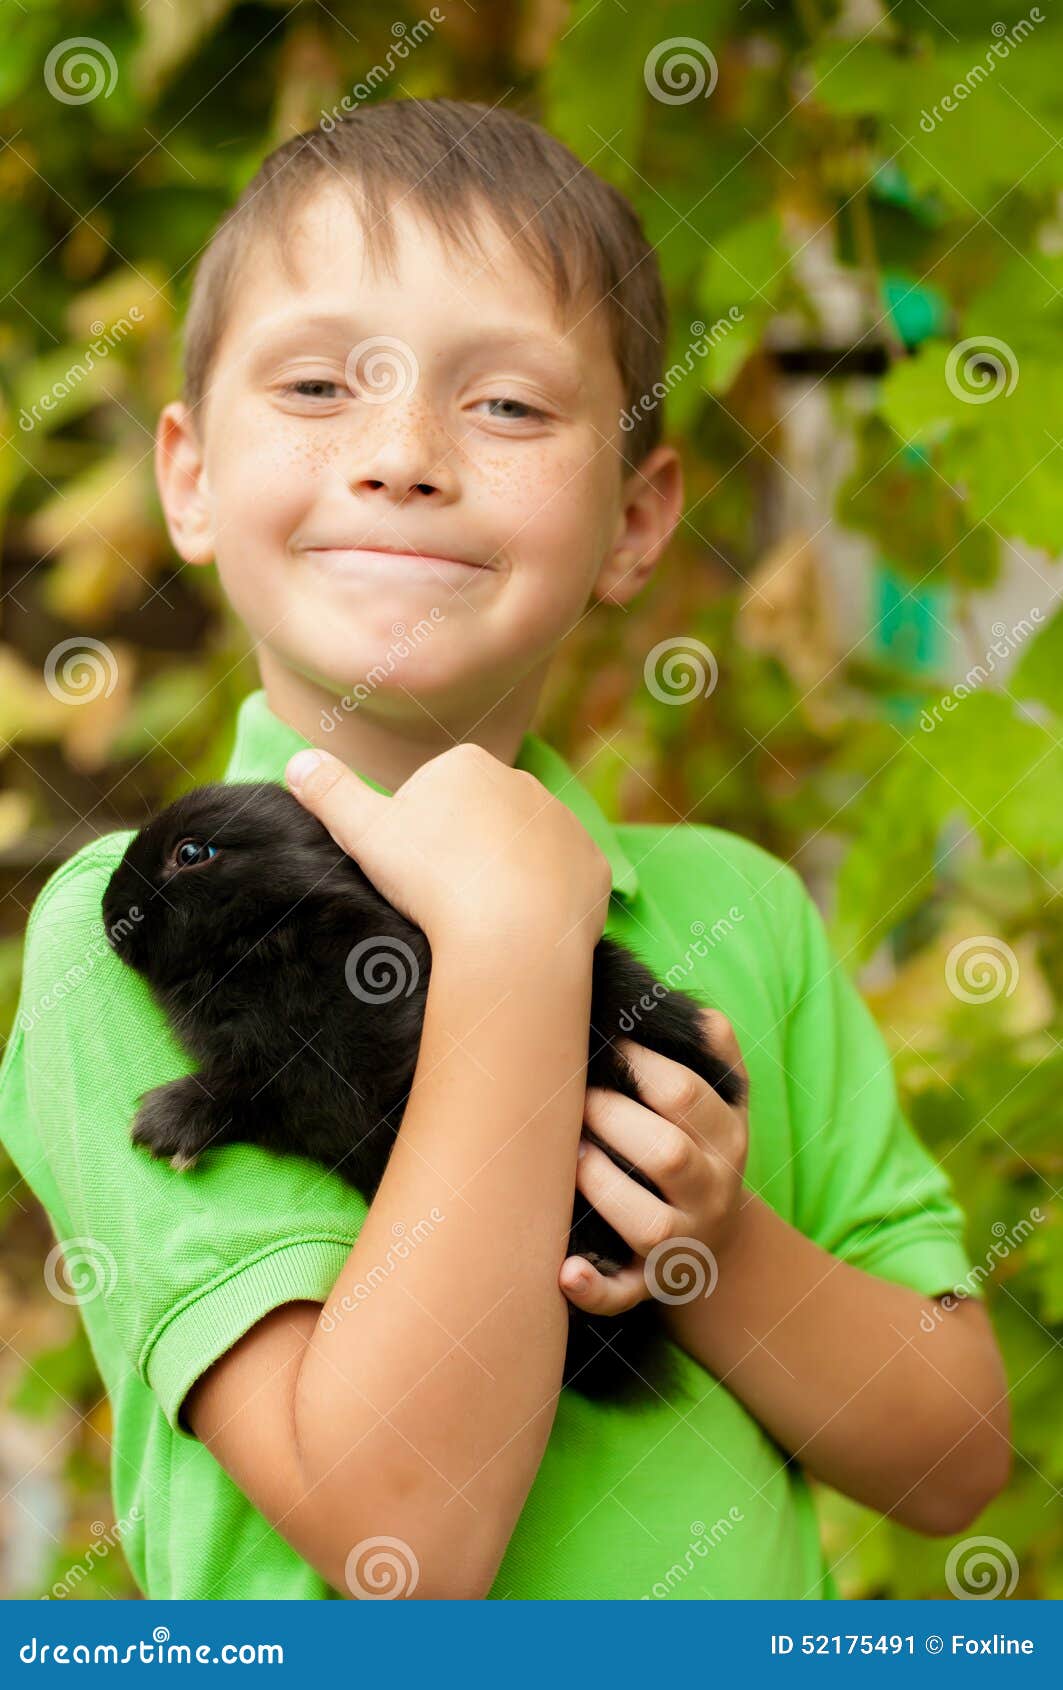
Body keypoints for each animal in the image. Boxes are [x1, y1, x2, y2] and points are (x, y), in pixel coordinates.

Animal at [100, 780, 745, 1404]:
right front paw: (167, 1128)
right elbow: (243, 1091)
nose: (109, 915)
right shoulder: (292, 1094)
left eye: (191, 854)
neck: (271, 932)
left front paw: (162, 1125)